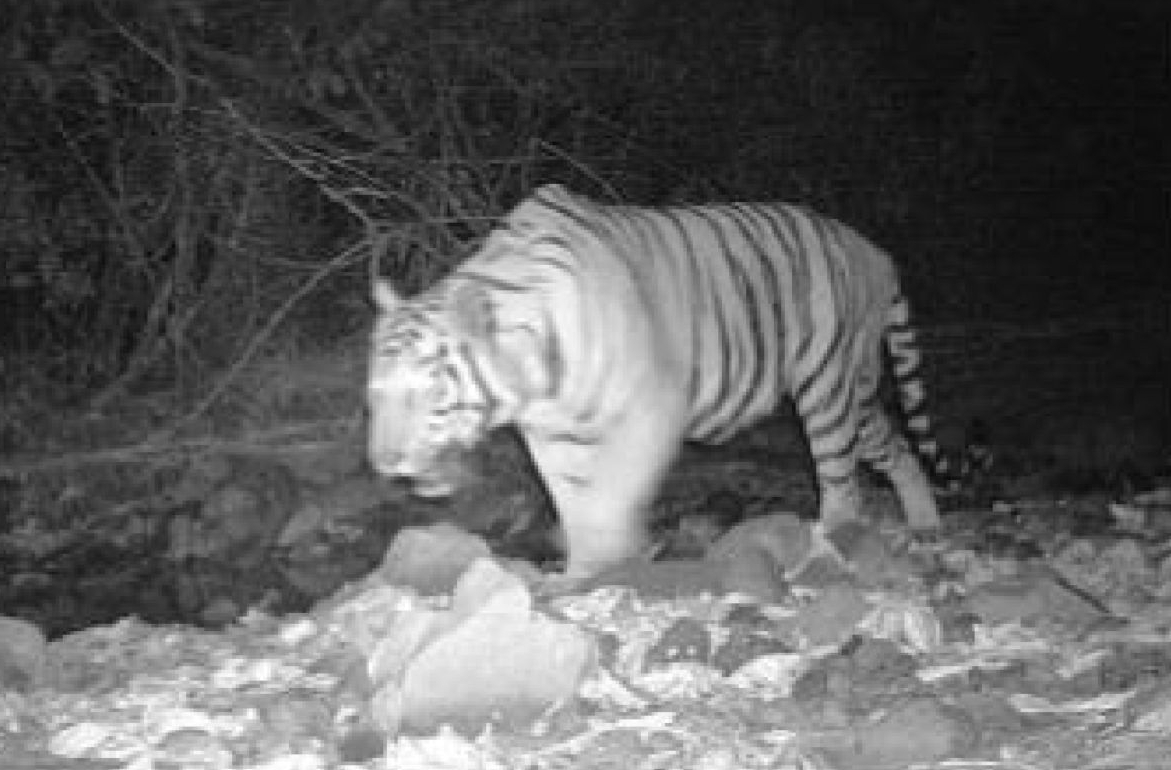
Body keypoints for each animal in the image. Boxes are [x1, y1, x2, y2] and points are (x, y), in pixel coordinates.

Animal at [367, 183, 944, 581]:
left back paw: (828, 545)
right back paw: (924, 522)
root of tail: (875, 252)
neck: (535, 377)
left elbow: (613, 491)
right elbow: (571, 498)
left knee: (840, 476)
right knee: (891, 443)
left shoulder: (647, 412)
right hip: (857, 390)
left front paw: (618, 555)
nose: (384, 463)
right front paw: (580, 569)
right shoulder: (551, 433)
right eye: (376, 396)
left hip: (826, 382)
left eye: (426, 395)